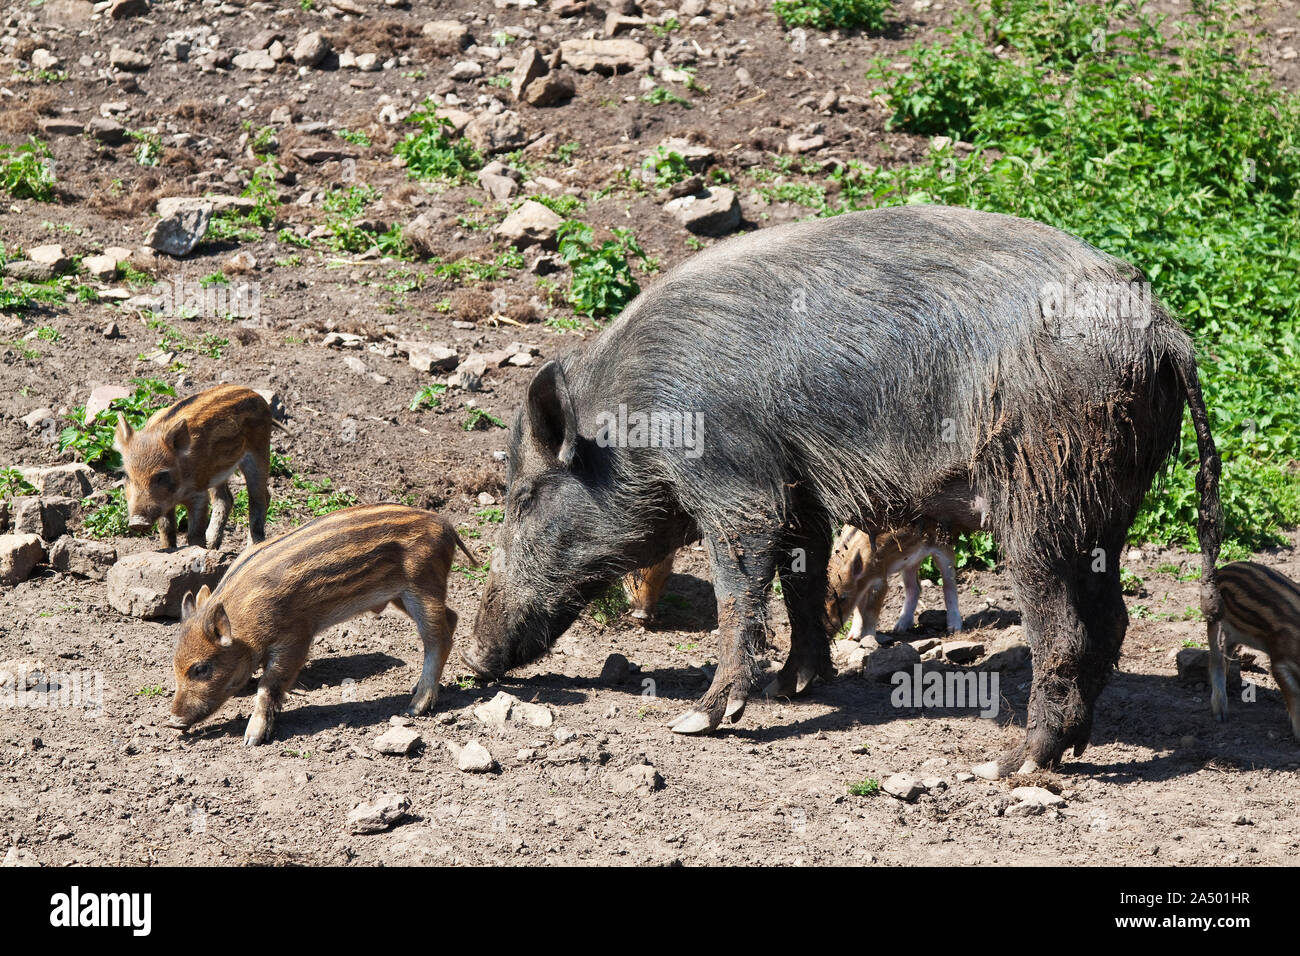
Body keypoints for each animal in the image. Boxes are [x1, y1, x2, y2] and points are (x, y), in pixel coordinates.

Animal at [114, 384, 275, 550]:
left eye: (161, 475)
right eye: (127, 475)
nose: (137, 522)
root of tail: (252, 392)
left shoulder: (198, 493)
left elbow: (194, 533)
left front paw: (198, 549)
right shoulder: (166, 503)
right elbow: (166, 529)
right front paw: (169, 549)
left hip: (260, 452)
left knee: (258, 500)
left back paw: (251, 547)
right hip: (216, 475)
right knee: (226, 499)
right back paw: (212, 545)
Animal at [167, 503, 474, 745]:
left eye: (201, 668)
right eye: (175, 667)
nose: (172, 721)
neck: (245, 620)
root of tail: (446, 525)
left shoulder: (296, 635)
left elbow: (270, 684)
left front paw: (252, 739)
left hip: (423, 586)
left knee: (439, 638)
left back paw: (415, 707)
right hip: (402, 595)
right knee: (452, 617)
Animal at [464, 204, 1222, 778]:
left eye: (524, 497)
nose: (474, 657)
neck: (637, 418)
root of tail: (1166, 336)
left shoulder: (734, 482)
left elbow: (739, 591)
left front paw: (699, 720)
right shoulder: (799, 491)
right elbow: (801, 577)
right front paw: (796, 686)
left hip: (1039, 495)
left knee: (1063, 627)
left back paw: (1009, 765)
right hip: (1108, 504)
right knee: (1113, 618)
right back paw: (1071, 750)